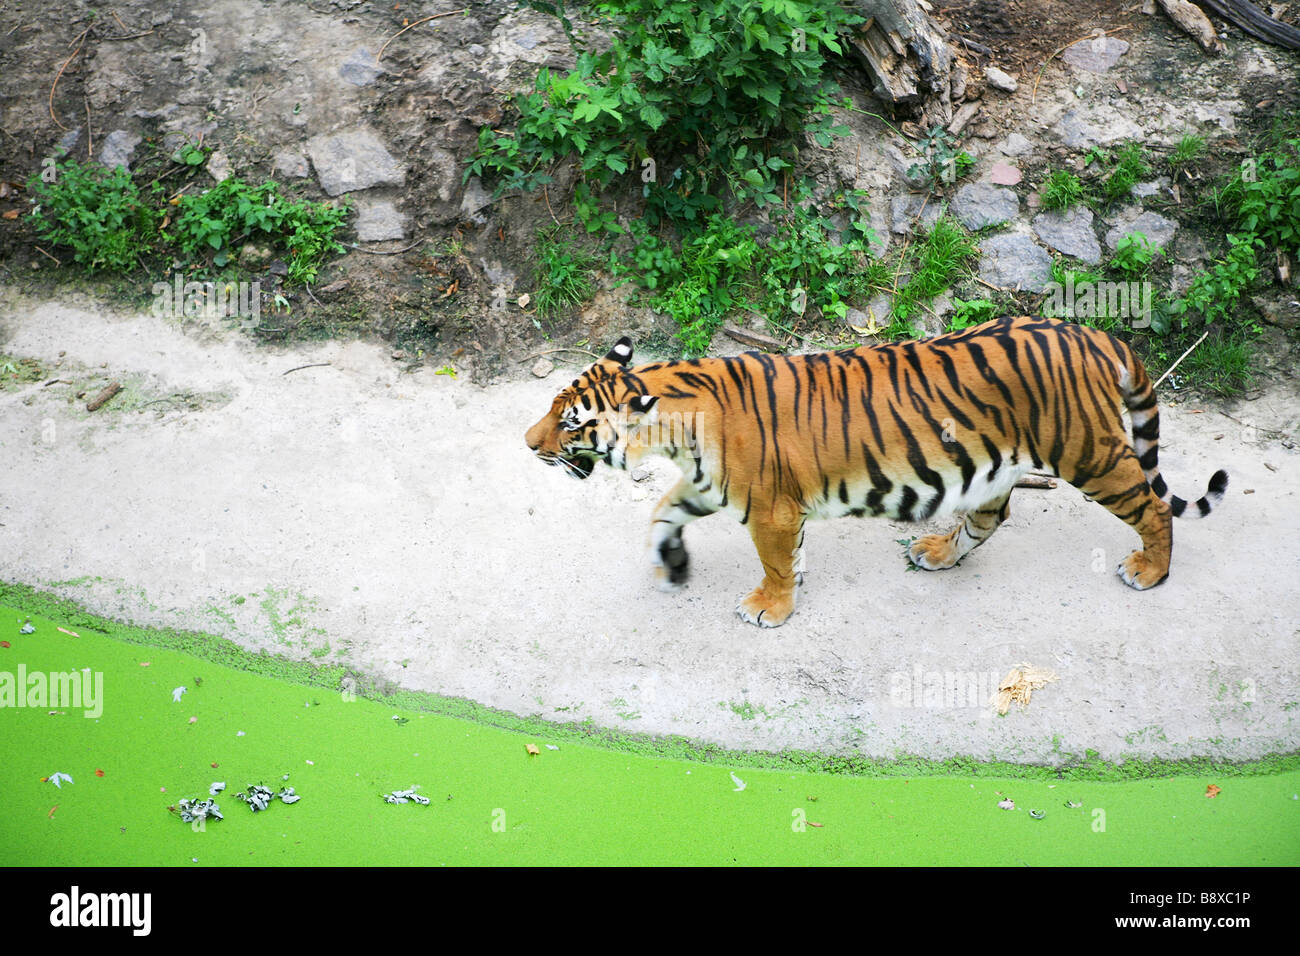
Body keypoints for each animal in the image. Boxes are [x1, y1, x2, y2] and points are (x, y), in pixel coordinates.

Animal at [524, 315, 1228, 627]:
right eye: (555, 408)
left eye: (571, 423)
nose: (527, 443)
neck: (674, 424)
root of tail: (1092, 331)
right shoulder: (709, 487)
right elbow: (662, 514)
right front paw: (670, 564)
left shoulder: (767, 506)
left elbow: (773, 560)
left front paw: (771, 606)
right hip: (998, 467)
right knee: (990, 517)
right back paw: (937, 553)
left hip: (1090, 453)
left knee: (1154, 506)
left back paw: (1149, 571)